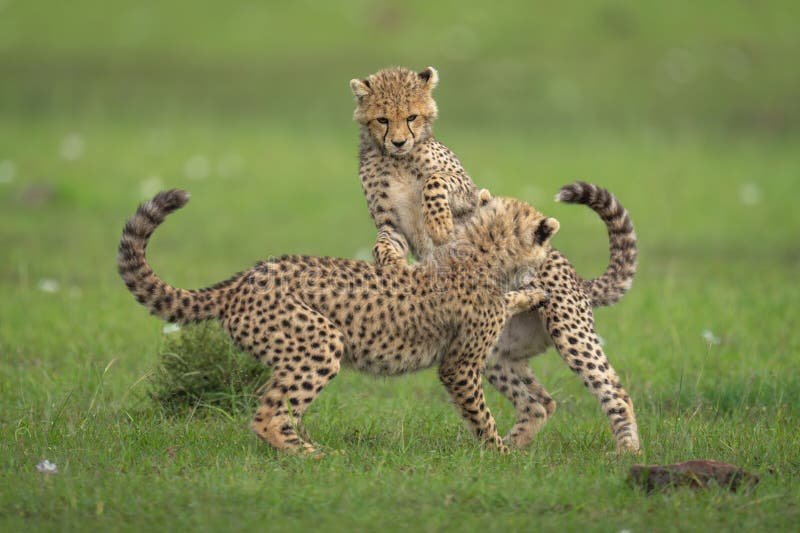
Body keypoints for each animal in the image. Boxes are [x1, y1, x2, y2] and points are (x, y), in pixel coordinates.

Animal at [118, 189, 559, 454]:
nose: (548, 263)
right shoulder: (460, 365)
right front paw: (500, 452)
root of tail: (244, 278)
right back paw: (309, 456)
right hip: (320, 341)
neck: (478, 251)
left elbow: (510, 301)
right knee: (267, 416)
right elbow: (480, 413)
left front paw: (532, 295)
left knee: (281, 407)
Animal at [350, 65, 641, 453]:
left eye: (411, 117)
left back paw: (628, 450)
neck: (397, 160)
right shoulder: (390, 223)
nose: (398, 141)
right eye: (382, 119)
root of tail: (578, 278)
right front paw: (394, 267)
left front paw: (439, 225)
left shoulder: (467, 192)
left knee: (613, 390)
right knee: (539, 402)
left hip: (570, 331)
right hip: (493, 347)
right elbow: (383, 244)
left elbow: (436, 181)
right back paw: (511, 450)